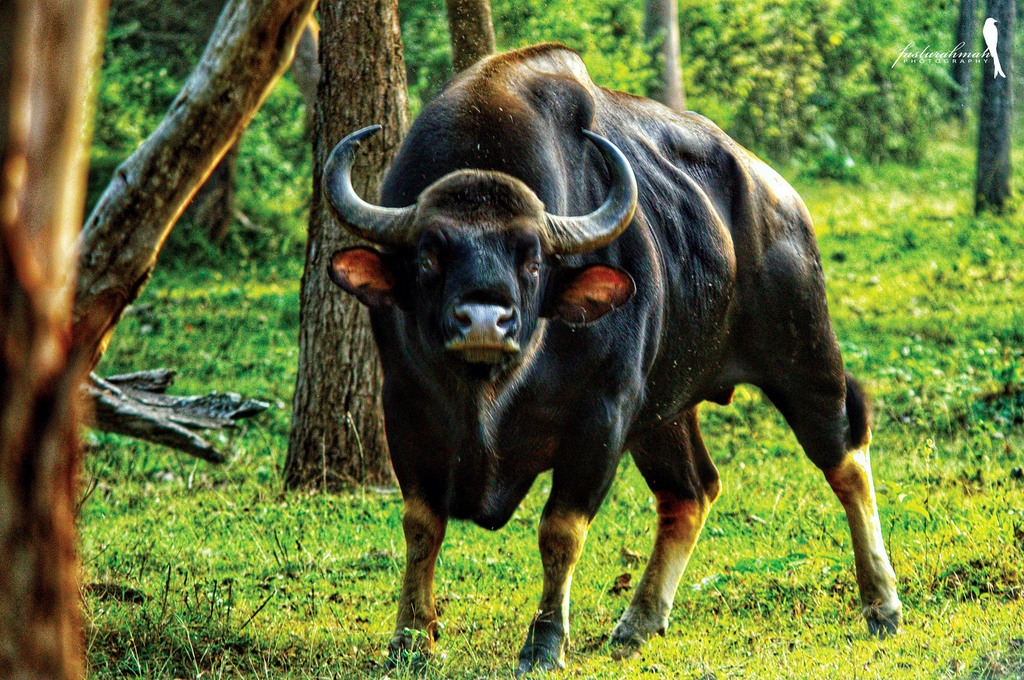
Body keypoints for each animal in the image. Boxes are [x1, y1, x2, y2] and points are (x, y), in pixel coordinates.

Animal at [323, 44, 902, 676]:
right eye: (429, 256)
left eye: (532, 259)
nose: (483, 321)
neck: (488, 390)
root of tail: (782, 199)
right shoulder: (404, 408)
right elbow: (421, 524)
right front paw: (409, 637)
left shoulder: (600, 417)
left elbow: (560, 531)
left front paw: (545, 642)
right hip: (665, 411)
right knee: (690, 491)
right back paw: (638, 622)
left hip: (803, 354)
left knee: (846, 455)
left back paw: (882, 603)